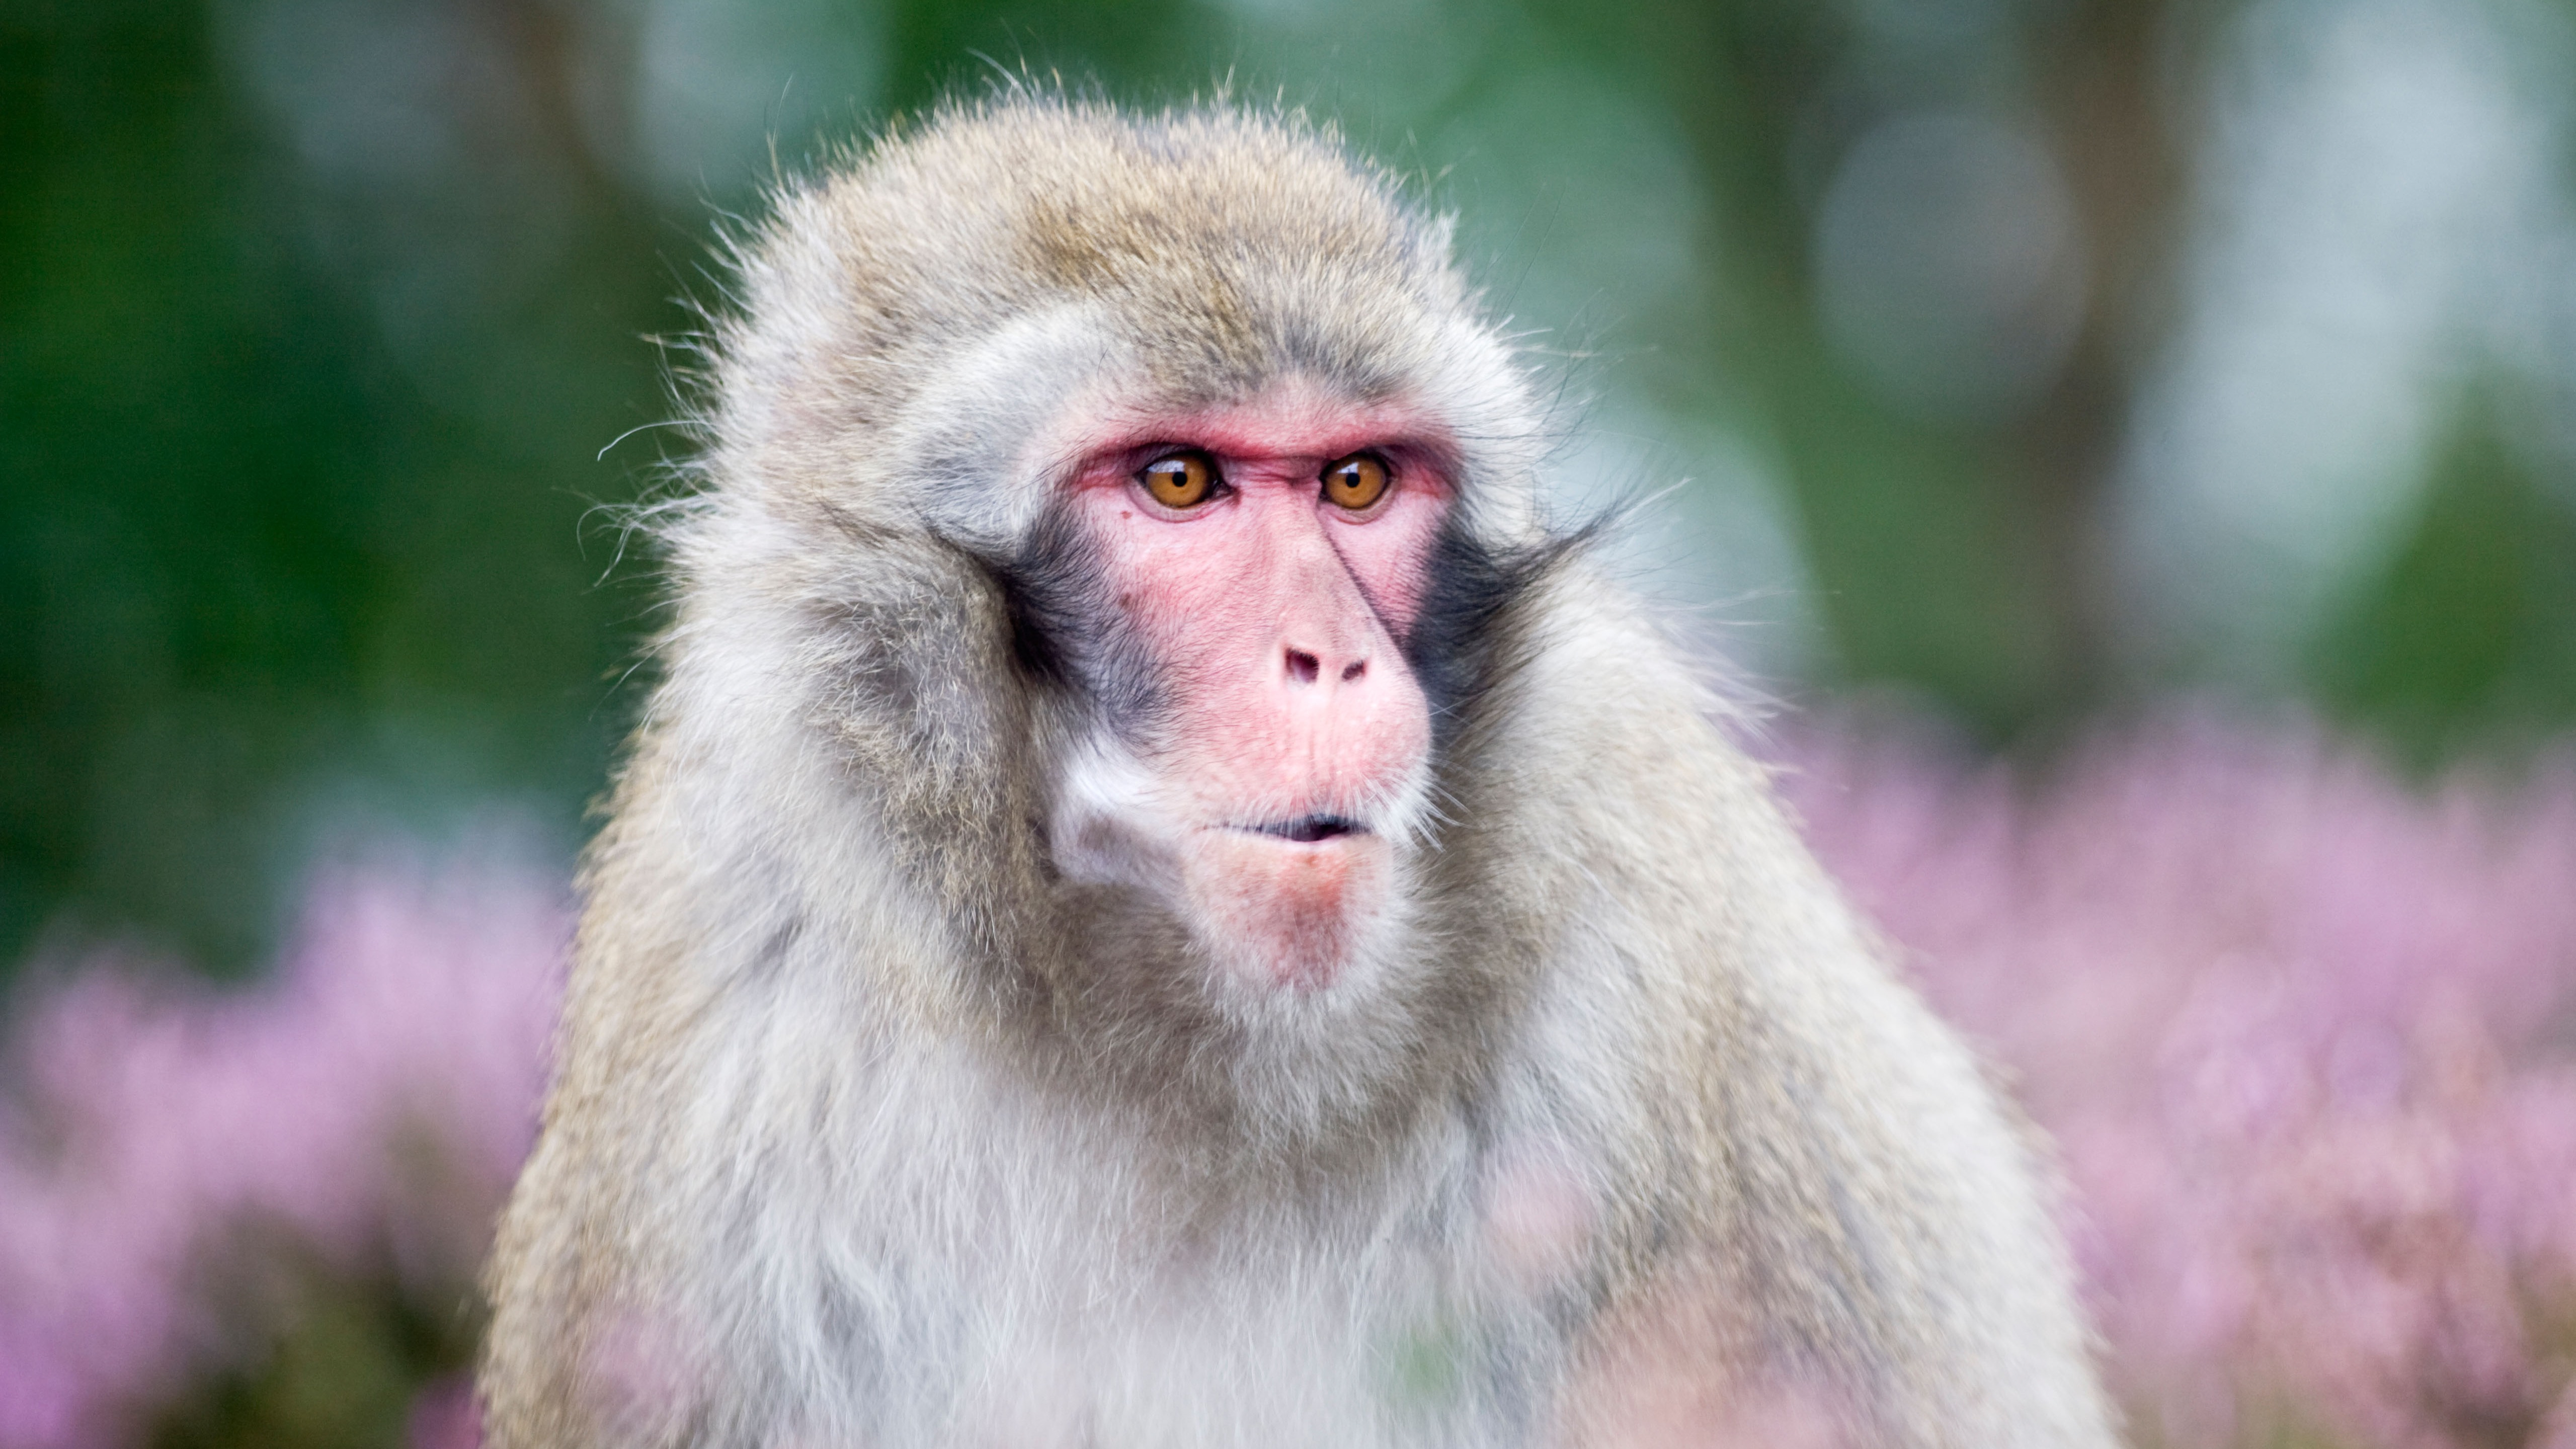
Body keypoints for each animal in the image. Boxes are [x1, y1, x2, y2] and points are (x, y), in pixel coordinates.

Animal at [478, 96, 2117, 1449]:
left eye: (1355, 479)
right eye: (1177, 481)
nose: (1328, 659)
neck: (1189, 1061)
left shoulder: (1685, 981)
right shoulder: (705, 1059)